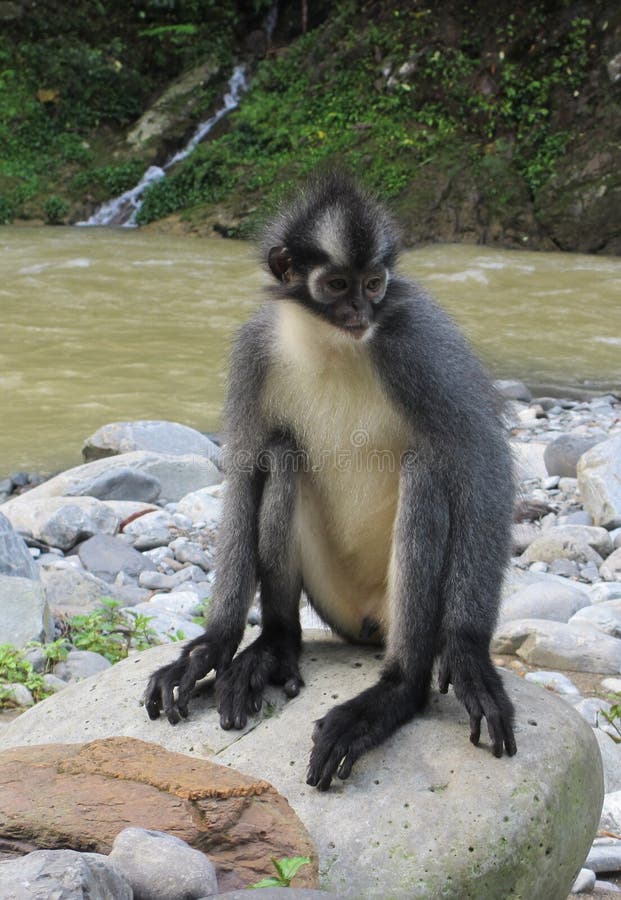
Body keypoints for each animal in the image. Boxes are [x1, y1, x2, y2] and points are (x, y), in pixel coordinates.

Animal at [144, 173, 517, 790]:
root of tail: (367, 626)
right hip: (332, 599)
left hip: (392, 608)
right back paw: (274, 645)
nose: (361, 309)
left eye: (374, 284)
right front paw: (212, 646)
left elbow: (481, 463)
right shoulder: (254, 350)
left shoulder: (417, 336)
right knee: (281, 452)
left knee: (427, 468)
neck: (331, 342)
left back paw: (394, 692)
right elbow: (244, 470)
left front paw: (467, 653)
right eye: (337, 284)